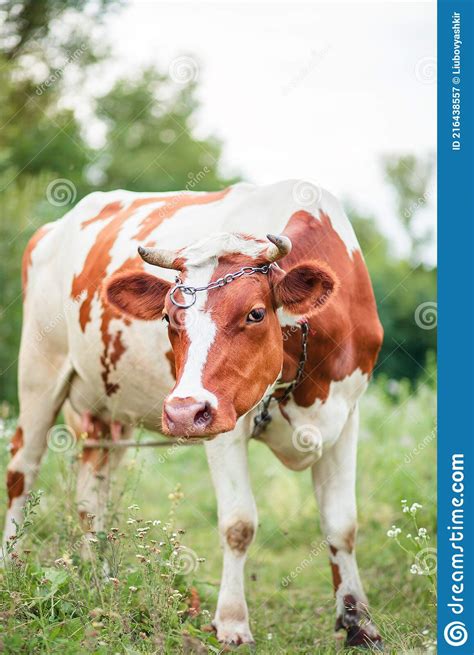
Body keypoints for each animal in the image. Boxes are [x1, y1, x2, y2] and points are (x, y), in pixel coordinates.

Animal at [3, 180, 384, 648]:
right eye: (168, 317)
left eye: (256, 313)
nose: (183, 413)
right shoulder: (223, 424)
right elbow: (239, 524)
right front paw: (232, 622)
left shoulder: (347, 415)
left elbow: (342, 525)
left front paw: (357, 620)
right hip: (39, 370)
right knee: (22, 469)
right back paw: (11, 565)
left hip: (108, 410)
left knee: (92, 493)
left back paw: (99, 577)